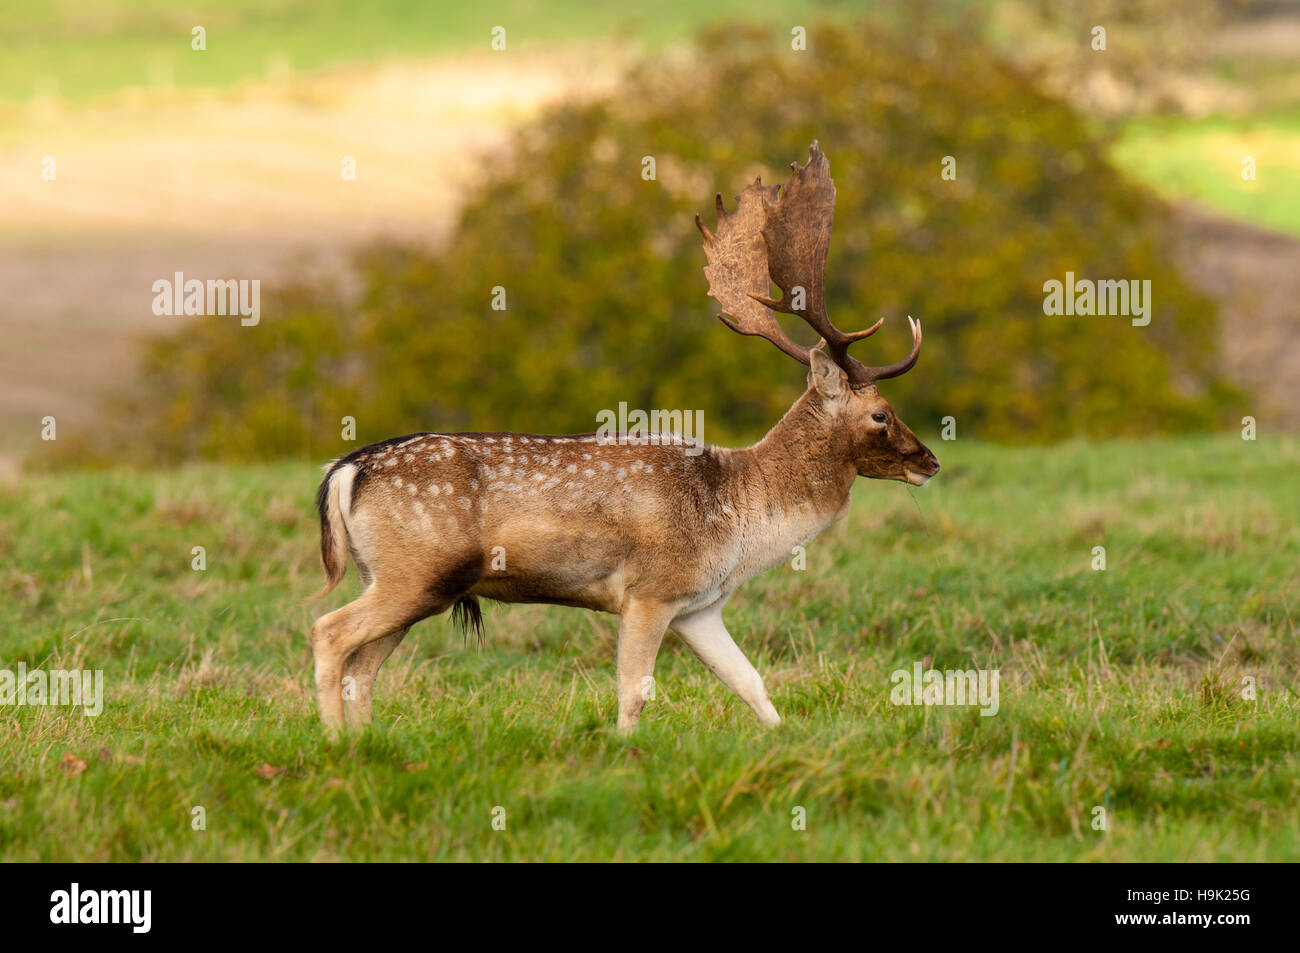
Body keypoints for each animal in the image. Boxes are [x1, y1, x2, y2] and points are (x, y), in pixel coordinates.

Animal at [308, 142, 939, 735]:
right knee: (327, 632)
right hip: (415, 572)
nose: (929, 461)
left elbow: (751, 683)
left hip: (397, 578)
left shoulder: (699, 607)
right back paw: (337, 743)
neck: (740, 520)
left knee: (363, 667)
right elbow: (634, 691)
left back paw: (365, 740)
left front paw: (784, 740)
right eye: (881, 414)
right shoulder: (650, 590)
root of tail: (344, 471)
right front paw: (625, 749)